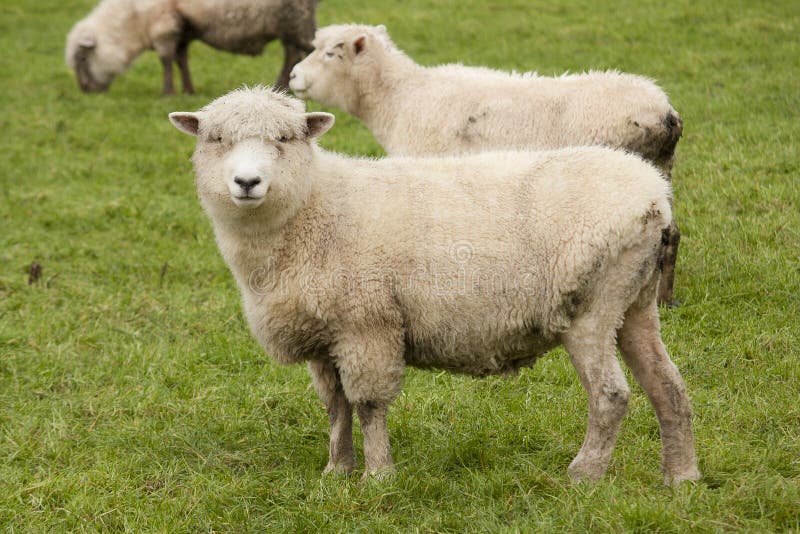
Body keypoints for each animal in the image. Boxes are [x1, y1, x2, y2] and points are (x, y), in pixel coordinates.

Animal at [65, 0, 318, 95]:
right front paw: (188, 90)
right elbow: (181, 59)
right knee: (296, 52)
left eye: (82, 59)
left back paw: (284, 87)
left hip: (293, 15)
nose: (85, 89)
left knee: (297, 51)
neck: (132, 19)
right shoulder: (182, 27)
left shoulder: (163, 24)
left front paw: (167, 93)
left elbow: (166, 59)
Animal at [168, 86, 700, 485]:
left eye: (284, 138)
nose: (247, 182)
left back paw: (583, 475)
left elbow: (367, 404)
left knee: (611, 395)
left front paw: (378, 477)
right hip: (635, 302)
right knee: (668, 385)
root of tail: (655, 196)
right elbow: (335, 406)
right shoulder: (323, 332)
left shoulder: (367, 324)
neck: (312, 209)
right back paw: (681, 477)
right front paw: (336, 471)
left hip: (593, 306)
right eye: (216, 138)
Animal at [288, 24, 684, 306]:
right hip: (659, 172)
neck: (398, 99)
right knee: (671, 235)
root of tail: (665, 113)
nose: (292, 76)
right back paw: (664, 299)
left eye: (329, 53)